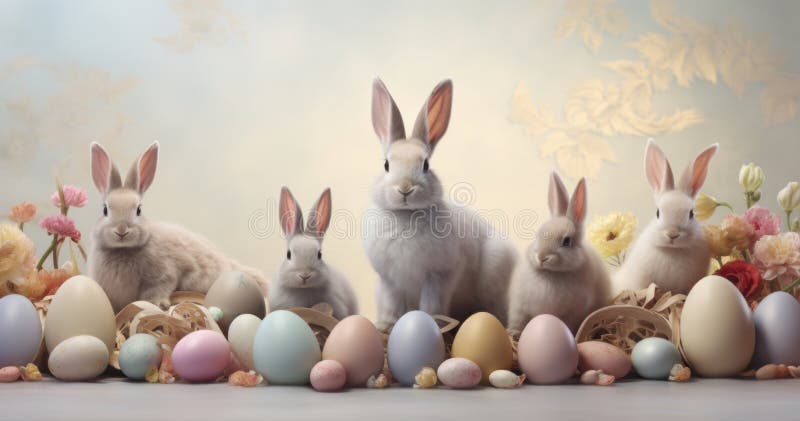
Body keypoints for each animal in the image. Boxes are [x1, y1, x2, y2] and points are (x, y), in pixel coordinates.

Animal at [87, 142, 268, 312]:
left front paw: (156, 304)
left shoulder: (163, 275)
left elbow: (159, 288)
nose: (122, 230)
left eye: (139, 210)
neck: (123, 249)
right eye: (105, 210)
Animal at [364, 78, 517, 332]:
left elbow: (432, 303)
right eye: (386, 165)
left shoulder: (439, 275)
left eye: (425, 165)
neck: (406, 214)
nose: (405, 188)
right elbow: (392, 305)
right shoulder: (389, 281)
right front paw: (386, 326)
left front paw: (432, 322)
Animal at [507, 173, 611, 334]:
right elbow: (518, 322)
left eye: (567, 241)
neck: (550, 274)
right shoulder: (519, 307)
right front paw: (512, 333)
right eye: (538, 234)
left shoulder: (574, 313)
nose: (541, 257)